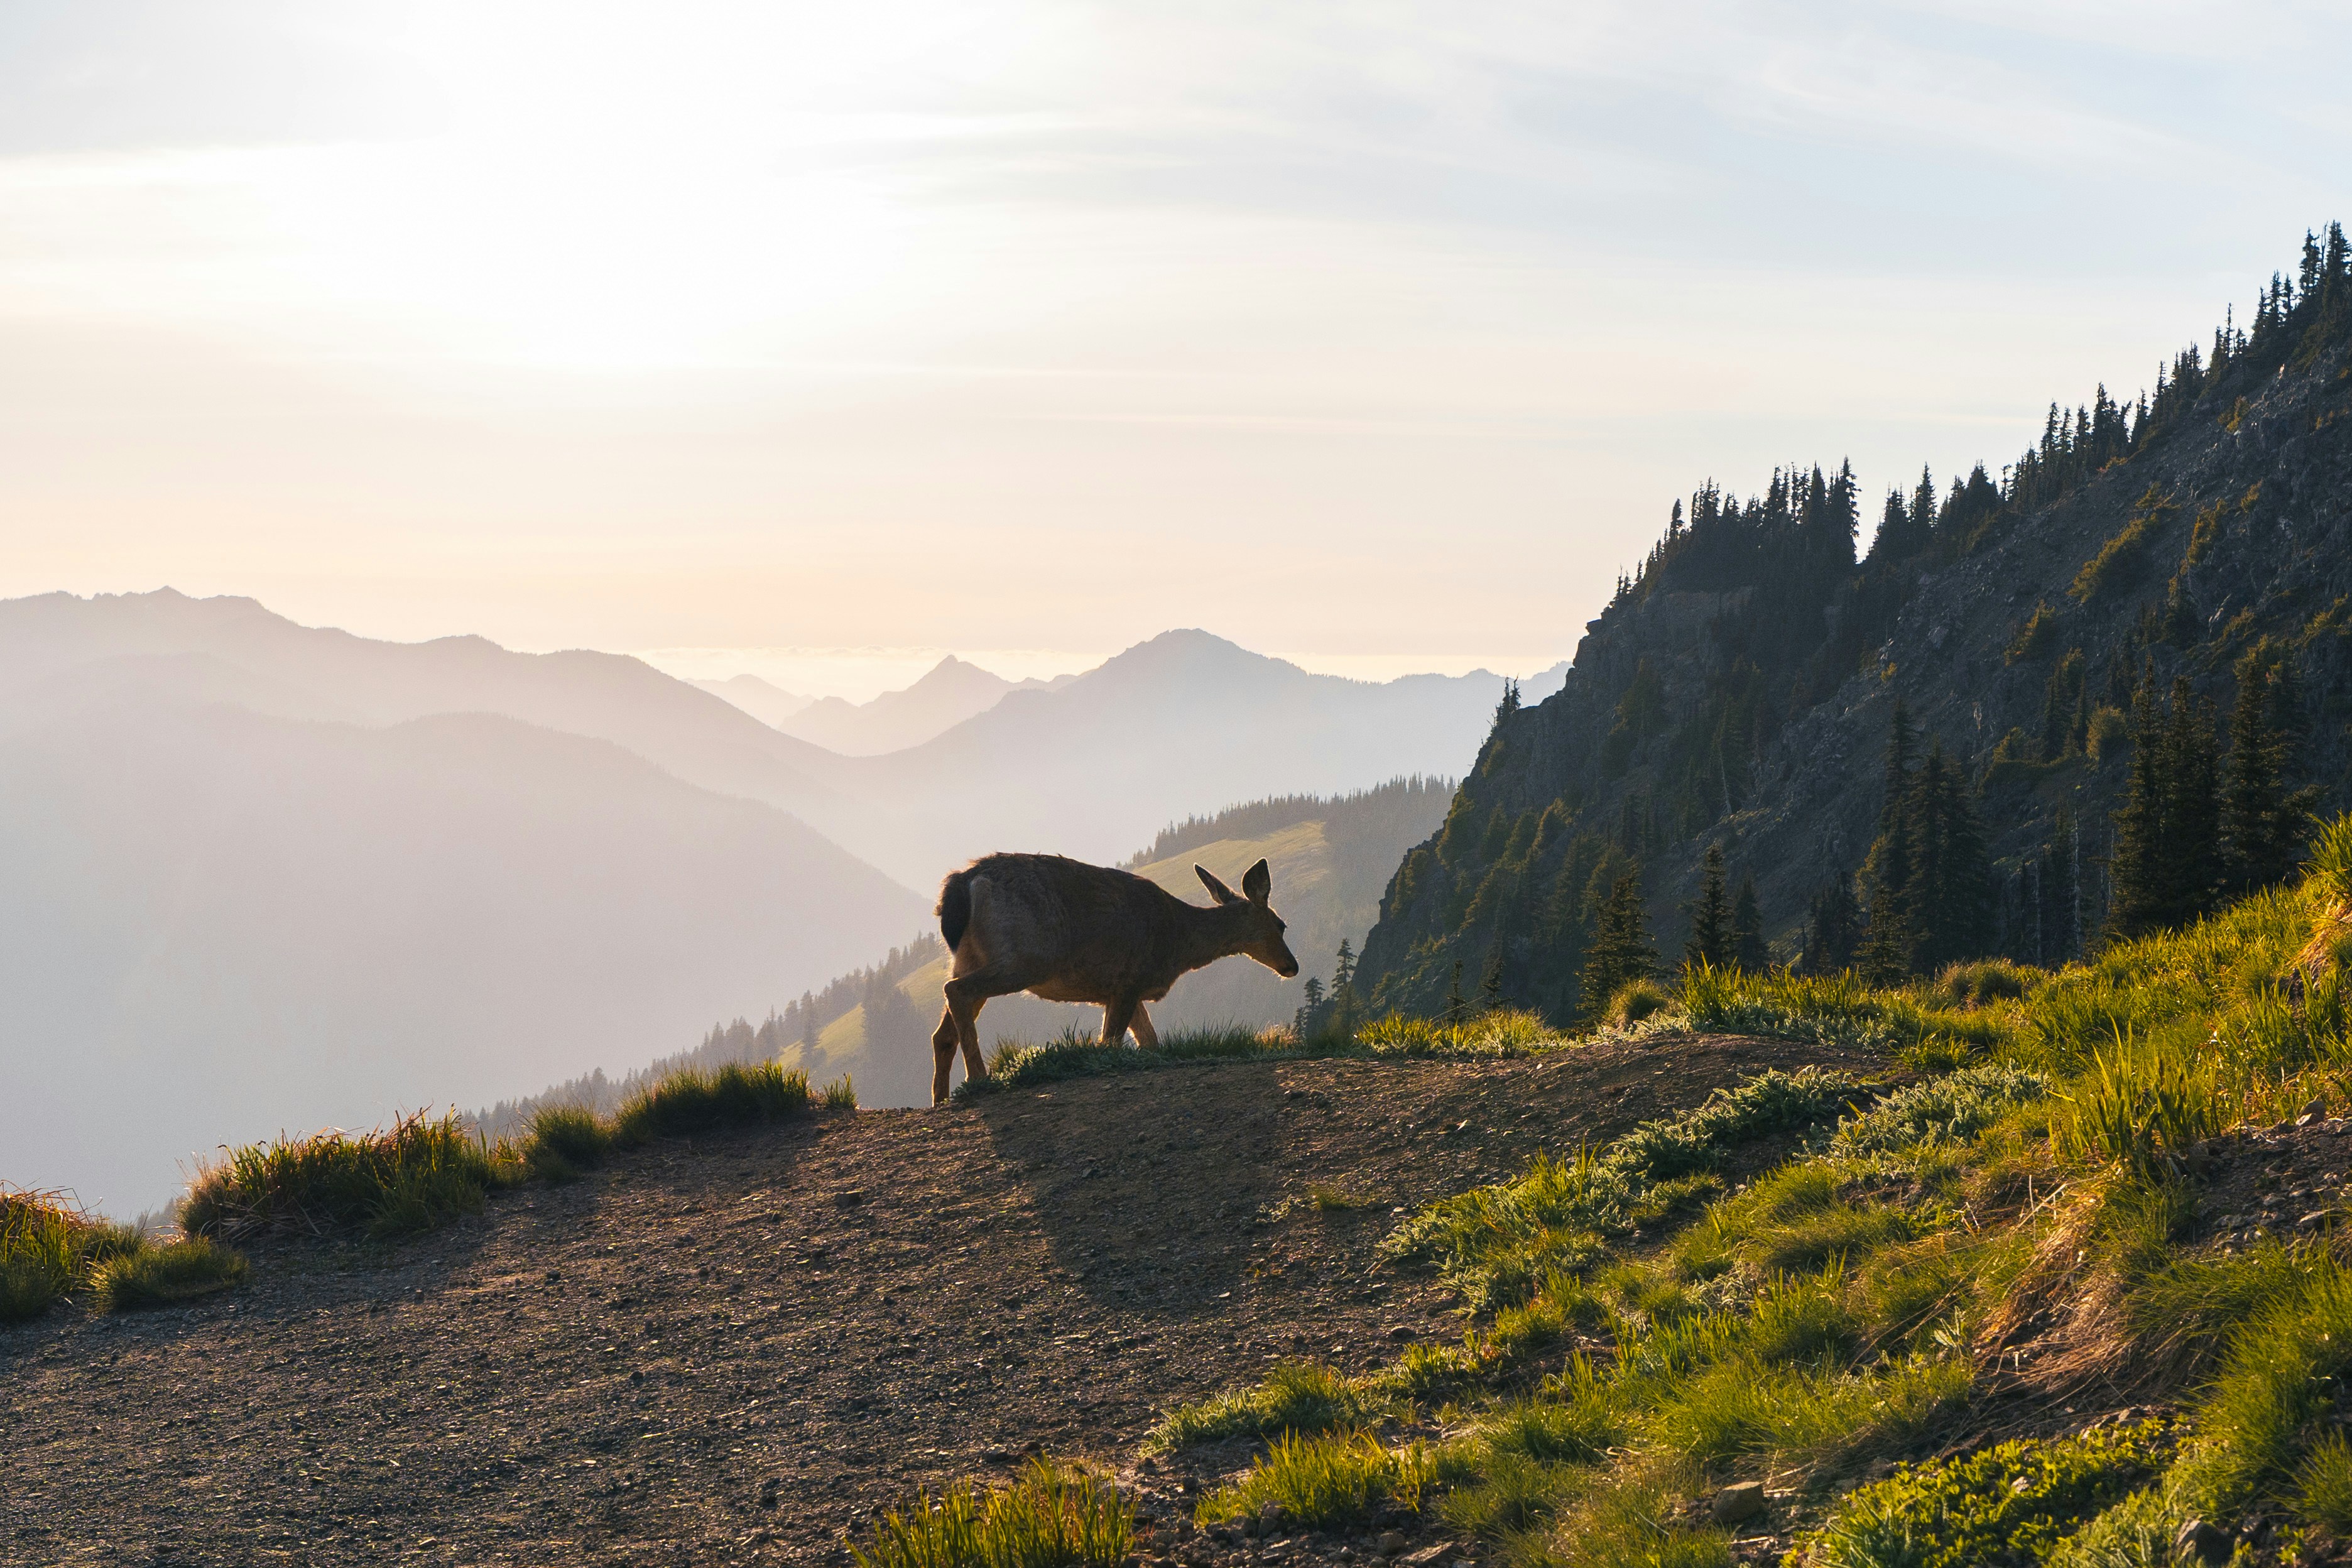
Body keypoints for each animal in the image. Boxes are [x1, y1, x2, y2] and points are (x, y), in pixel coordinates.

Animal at [927, 852, 1300, 1105]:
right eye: (1281, 925)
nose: (1292, 966)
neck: (1178, 941)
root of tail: (962, 883)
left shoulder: (1120, 991)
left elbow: (1149, 1043)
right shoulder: (1128, 981)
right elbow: (1110, 1044)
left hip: (968, 957)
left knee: (941, 1031)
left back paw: (940, 1099)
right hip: (1027, 956)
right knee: (955, 990)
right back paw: (979, 1079)